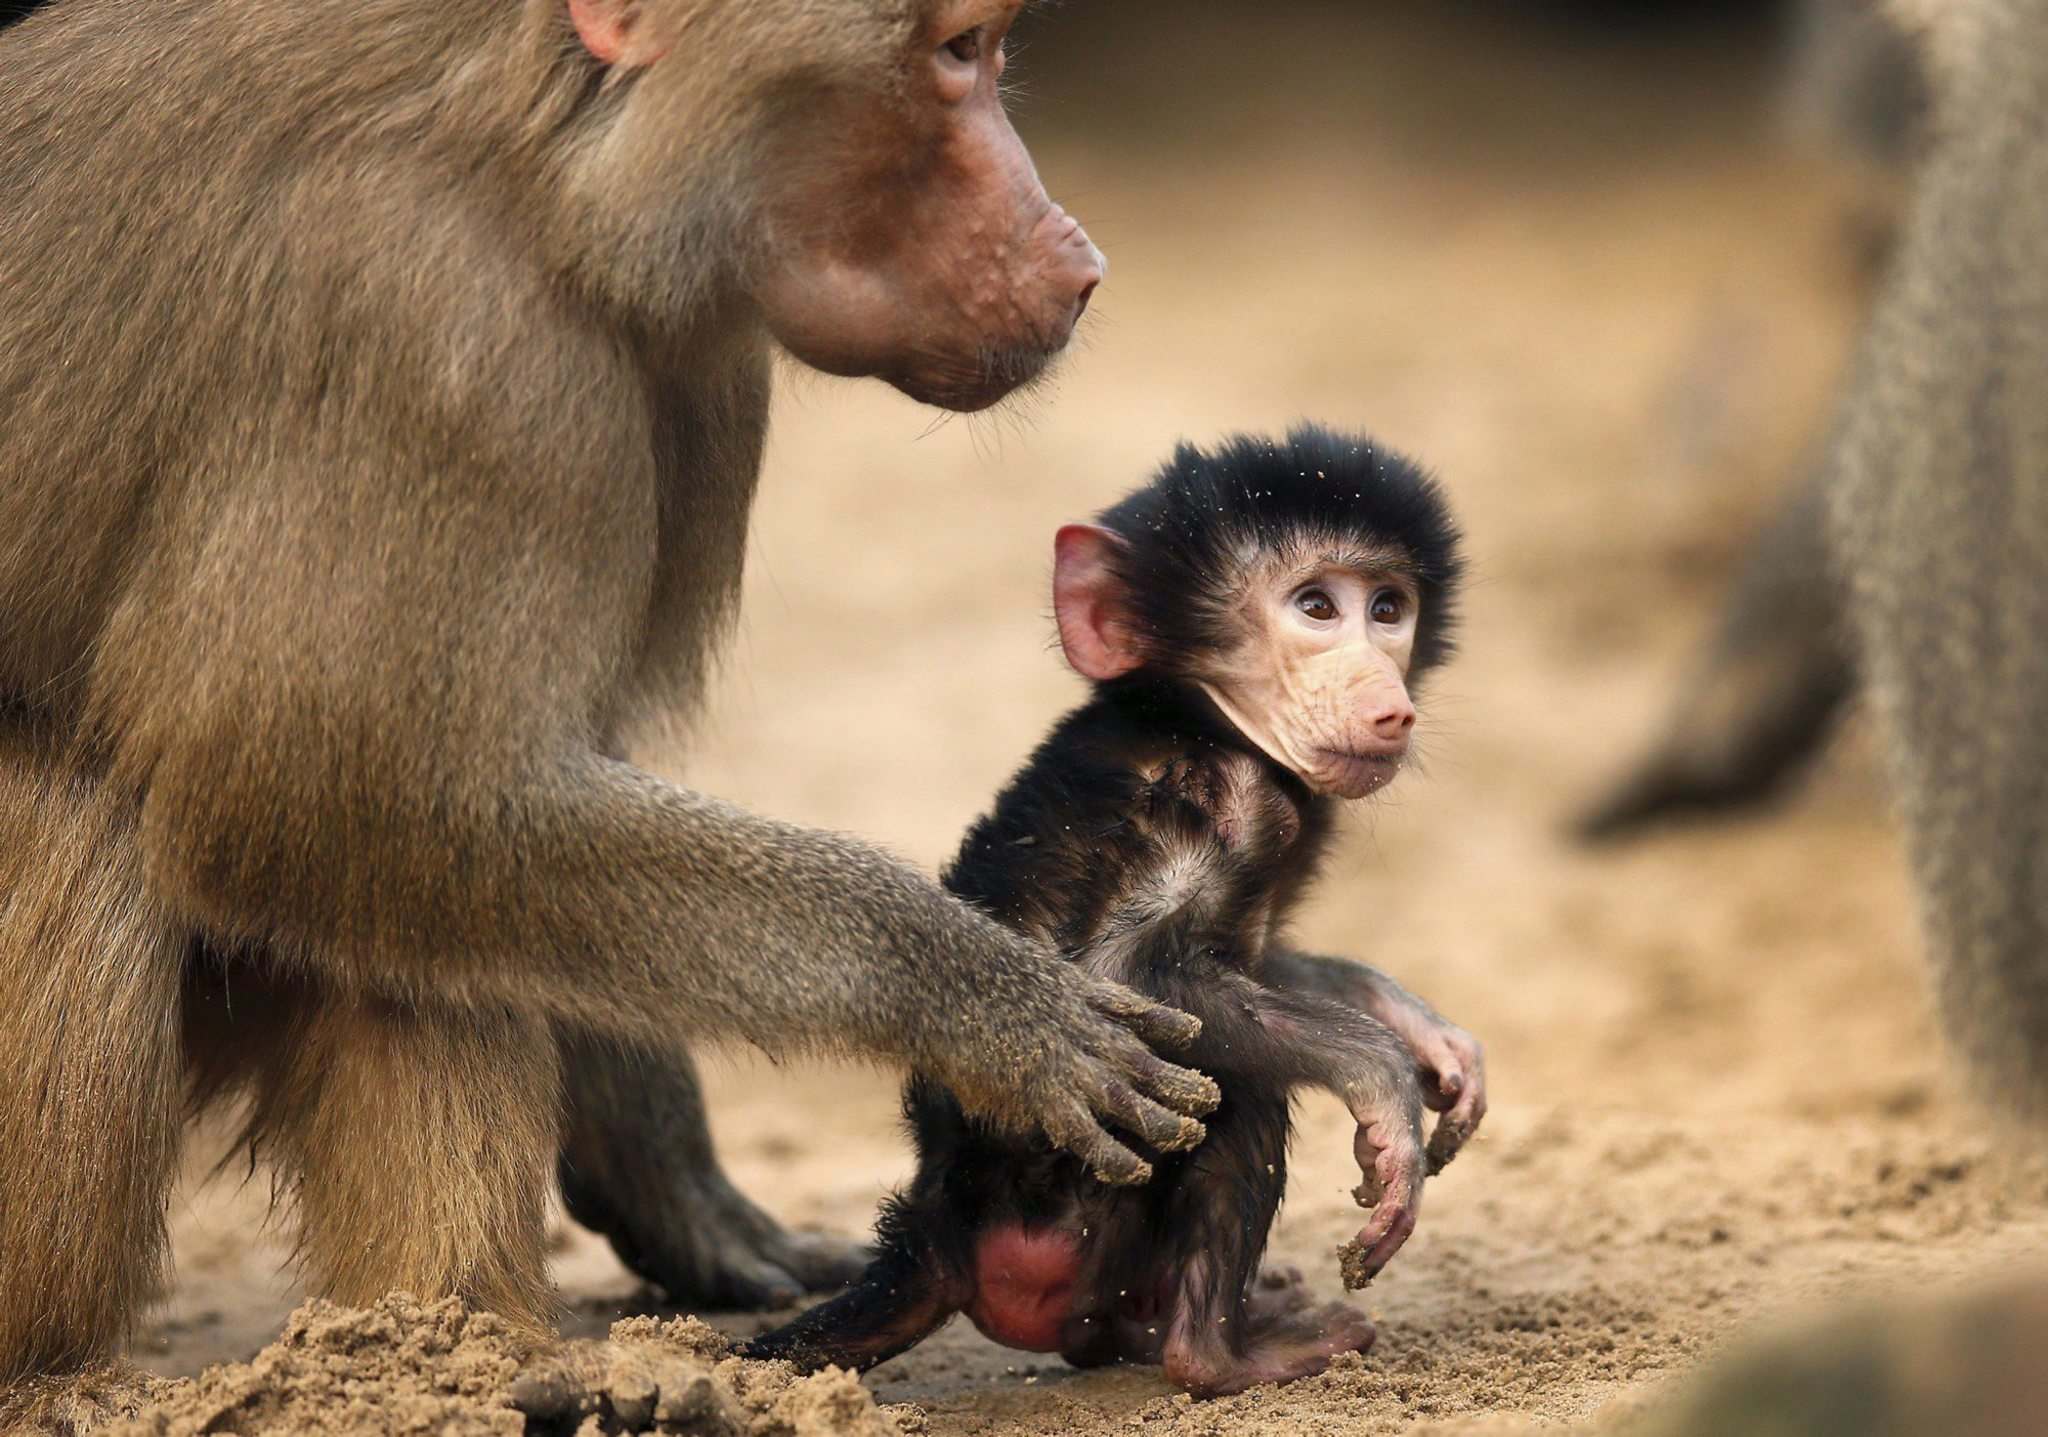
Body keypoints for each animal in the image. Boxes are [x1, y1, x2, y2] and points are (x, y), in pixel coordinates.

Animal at [0, 0, 1230, 1415]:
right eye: (955, 54)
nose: (1079, 265)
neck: (541, 166)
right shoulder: (438, 347)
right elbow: (317, 797)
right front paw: (985, 1002)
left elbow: (496, 805)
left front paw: (681, 1199)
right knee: (128, 813)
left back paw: (445, 1348)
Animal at [742, 426, 1485, 1399]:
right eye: (1317, 606)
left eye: (1389, 608)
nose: (1389, 702)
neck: (1200, 718)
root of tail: (940, 1217)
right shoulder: (1221, 792)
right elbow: (1115, 982)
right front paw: (1381, 1074)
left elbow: (1256, 955)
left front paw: (1416, 1026)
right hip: (1072, 1202)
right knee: (1236, 1084)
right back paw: (1219, 1354)